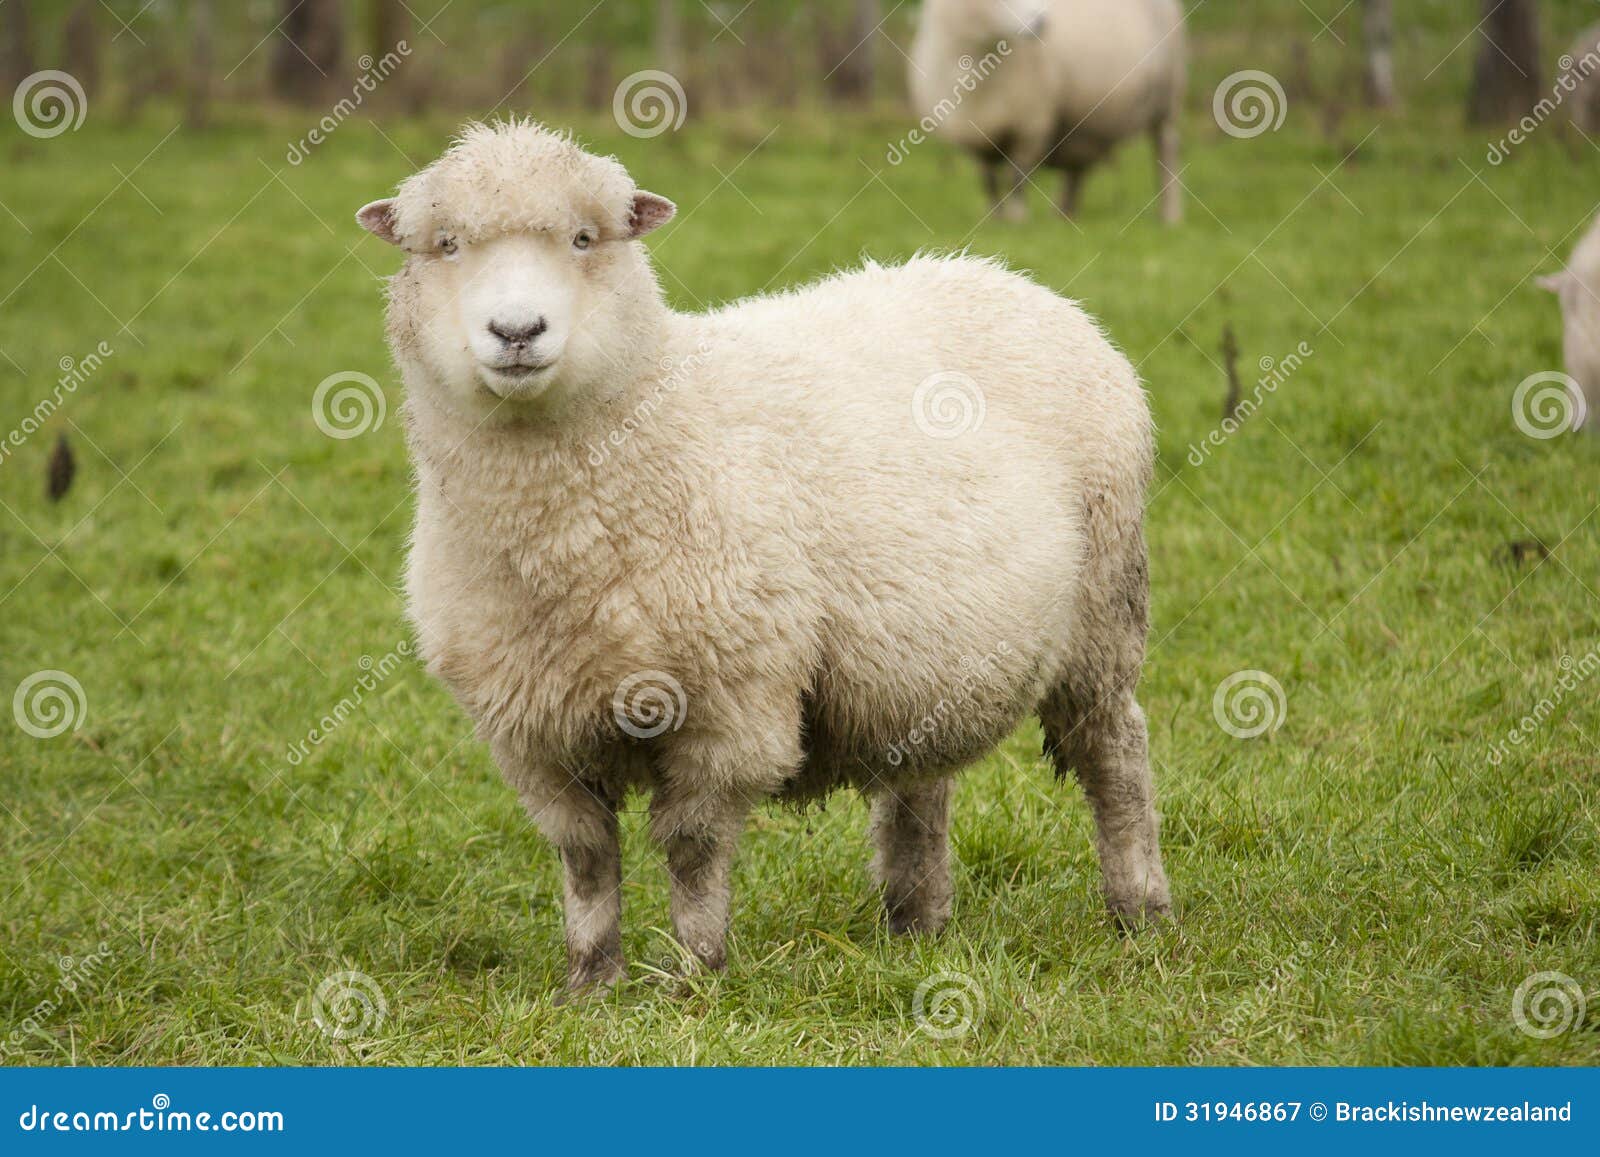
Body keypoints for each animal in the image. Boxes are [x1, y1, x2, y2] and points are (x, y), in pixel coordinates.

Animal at [356, 120, 1171, 997]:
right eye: (445, 245)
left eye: (584, 239)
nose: (516, 332)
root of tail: (1006, 277)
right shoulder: (532, 729)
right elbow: (586, 855)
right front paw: (591, 982)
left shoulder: (731, 701)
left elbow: (693, 847)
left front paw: (695, 975)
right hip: (925, 650)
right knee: (922, 777)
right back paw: (916, 923)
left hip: (1103, 609)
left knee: (1116, 756)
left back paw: (1140, 911)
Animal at [908, 0, 1187, 224]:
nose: (1043, 22)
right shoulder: (974, 136)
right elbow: (988, 181)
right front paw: (994, 218)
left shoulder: (1031, 126)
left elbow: (1016, 178)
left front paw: (1018, 220)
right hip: (1088, 120)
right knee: (1077, 168)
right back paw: (1063, 214)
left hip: (1167, 100)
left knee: (1166, 151)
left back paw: (1170, 215)